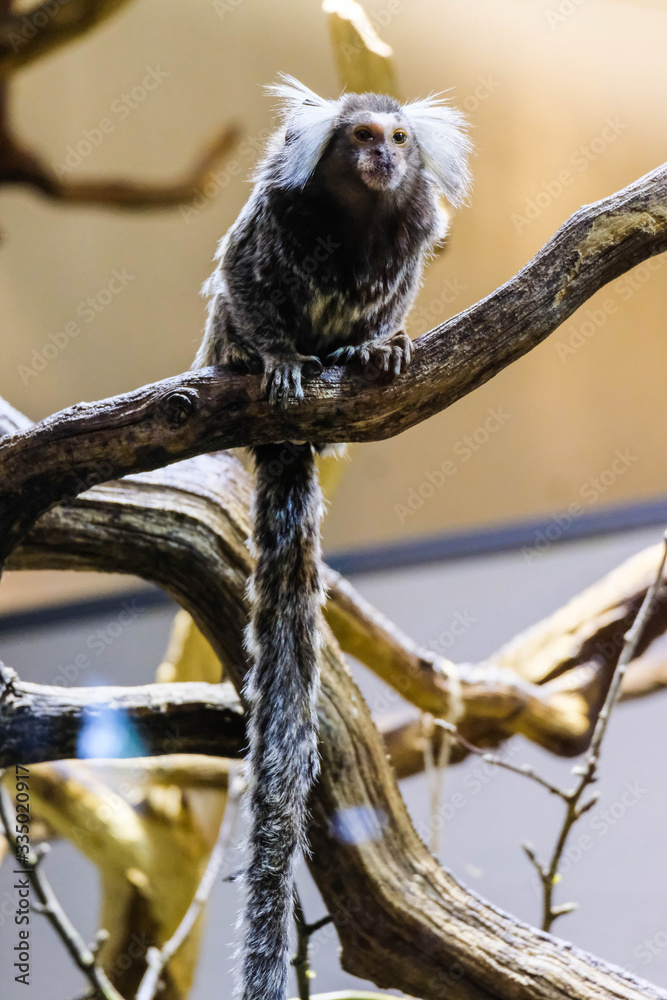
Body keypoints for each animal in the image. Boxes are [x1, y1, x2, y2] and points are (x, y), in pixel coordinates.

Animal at [194, 75, 471, 1000]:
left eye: (398, 138)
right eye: (359, 138)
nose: (380, 154)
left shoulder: (408, 244)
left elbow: (389, 302)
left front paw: (375, 344)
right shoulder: (268, 227)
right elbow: (242, 277)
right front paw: (278, 356)